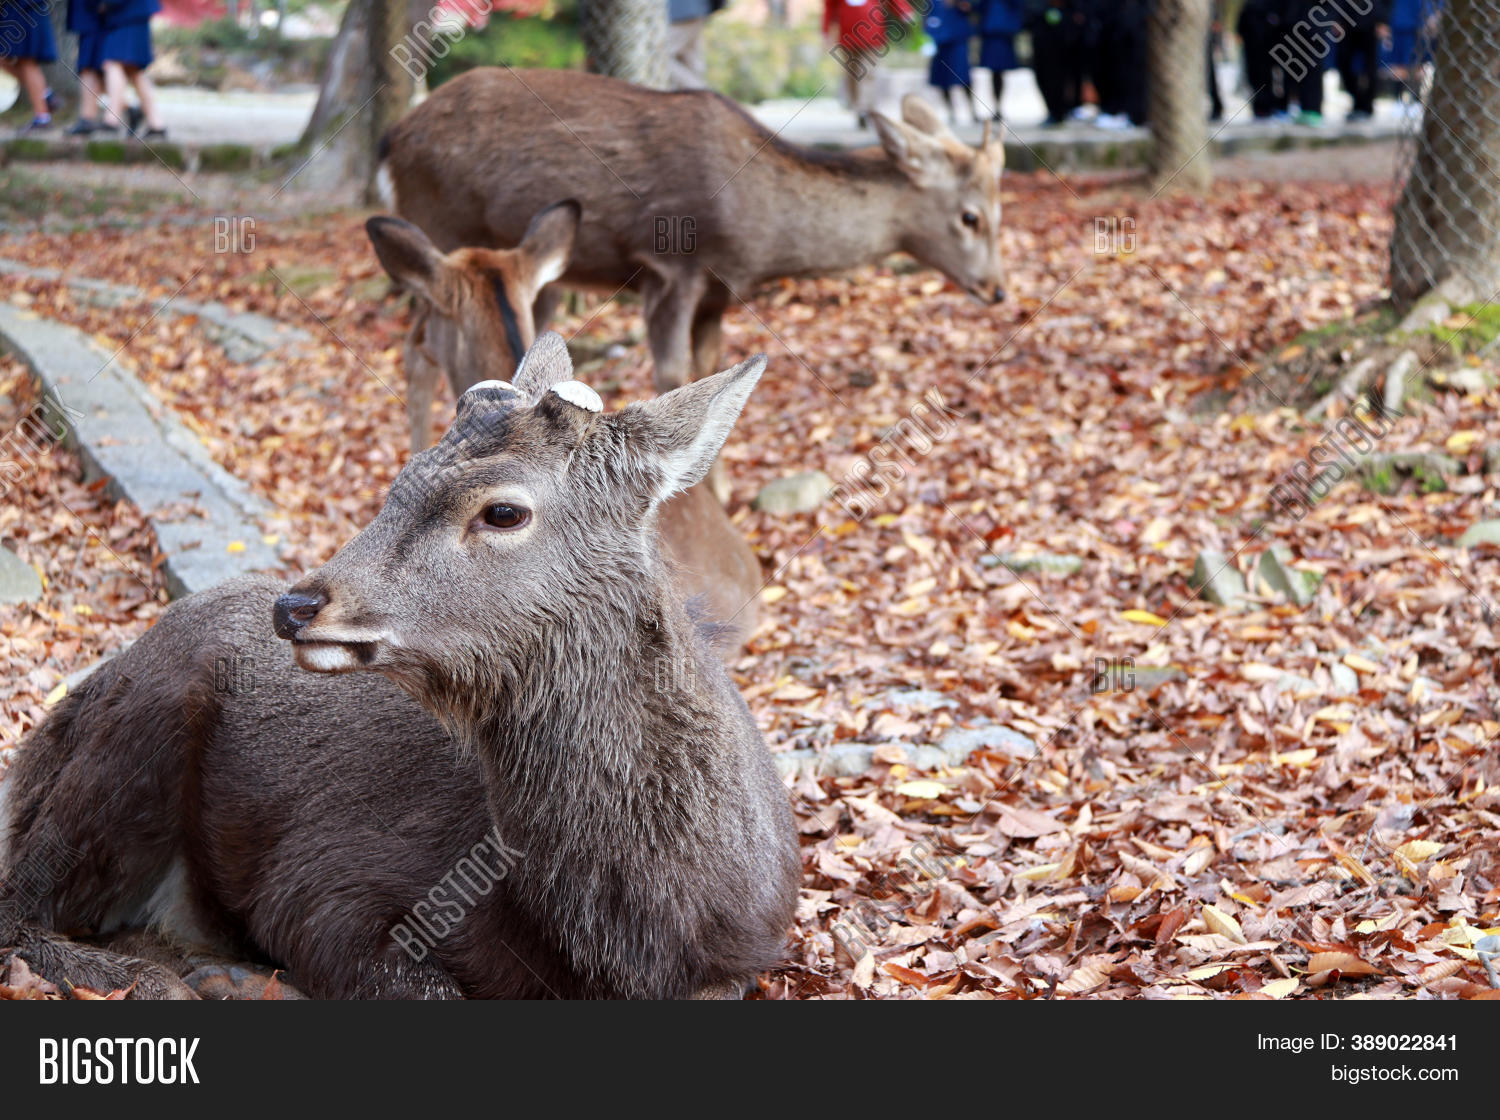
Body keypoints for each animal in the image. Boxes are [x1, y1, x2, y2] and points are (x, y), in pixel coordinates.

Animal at [0, 334, 800, 999]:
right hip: (136, 733)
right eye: (401, 478)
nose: (296, 605)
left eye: (504, 511)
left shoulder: (744, 960)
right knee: (20, 908)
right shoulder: (327, 882)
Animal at [376, 68, 1007, 400]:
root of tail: (392, 137)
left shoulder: (720, 292)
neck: (757, 235)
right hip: (437, 230)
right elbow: (671, 378)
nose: (998, 289)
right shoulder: (666, 269)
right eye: (970, 216)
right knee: (416, 348)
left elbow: (711, 375)